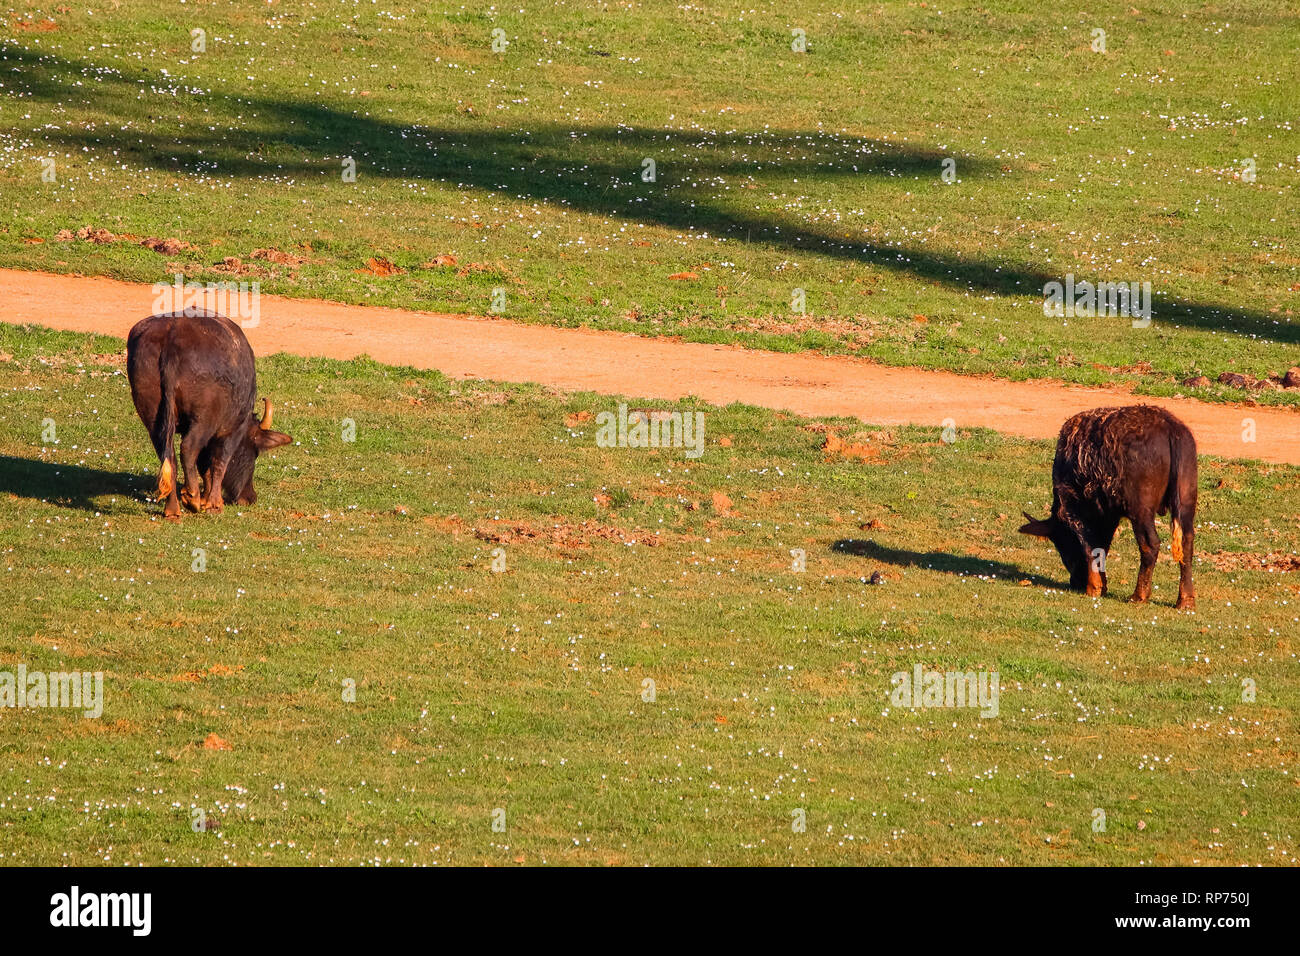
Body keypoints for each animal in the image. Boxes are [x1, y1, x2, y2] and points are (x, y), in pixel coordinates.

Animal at [126, 309, 291, 519]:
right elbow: (219, 462)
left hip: (153, 416)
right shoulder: (232, 430)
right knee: (188, 448)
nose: (249, 497)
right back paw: (193, 497)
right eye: (255, 453)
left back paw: (173, 509)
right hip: (204, 420)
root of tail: (174, 336)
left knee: (168, 455)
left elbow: (204, 464)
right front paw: (213, 503)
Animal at [1019, 405, 1197, 609]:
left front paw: (1095, 588)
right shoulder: (1109, 516)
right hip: (1186, 504)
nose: (1076, 582)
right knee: (1186, 543)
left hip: (1141, 511)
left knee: (1151, 544)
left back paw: (1139, 595)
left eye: (1062, 545)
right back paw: (1185, 599)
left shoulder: (1074, 512)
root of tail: (1170, 427)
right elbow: (1102, 546)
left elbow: (1090, 546)